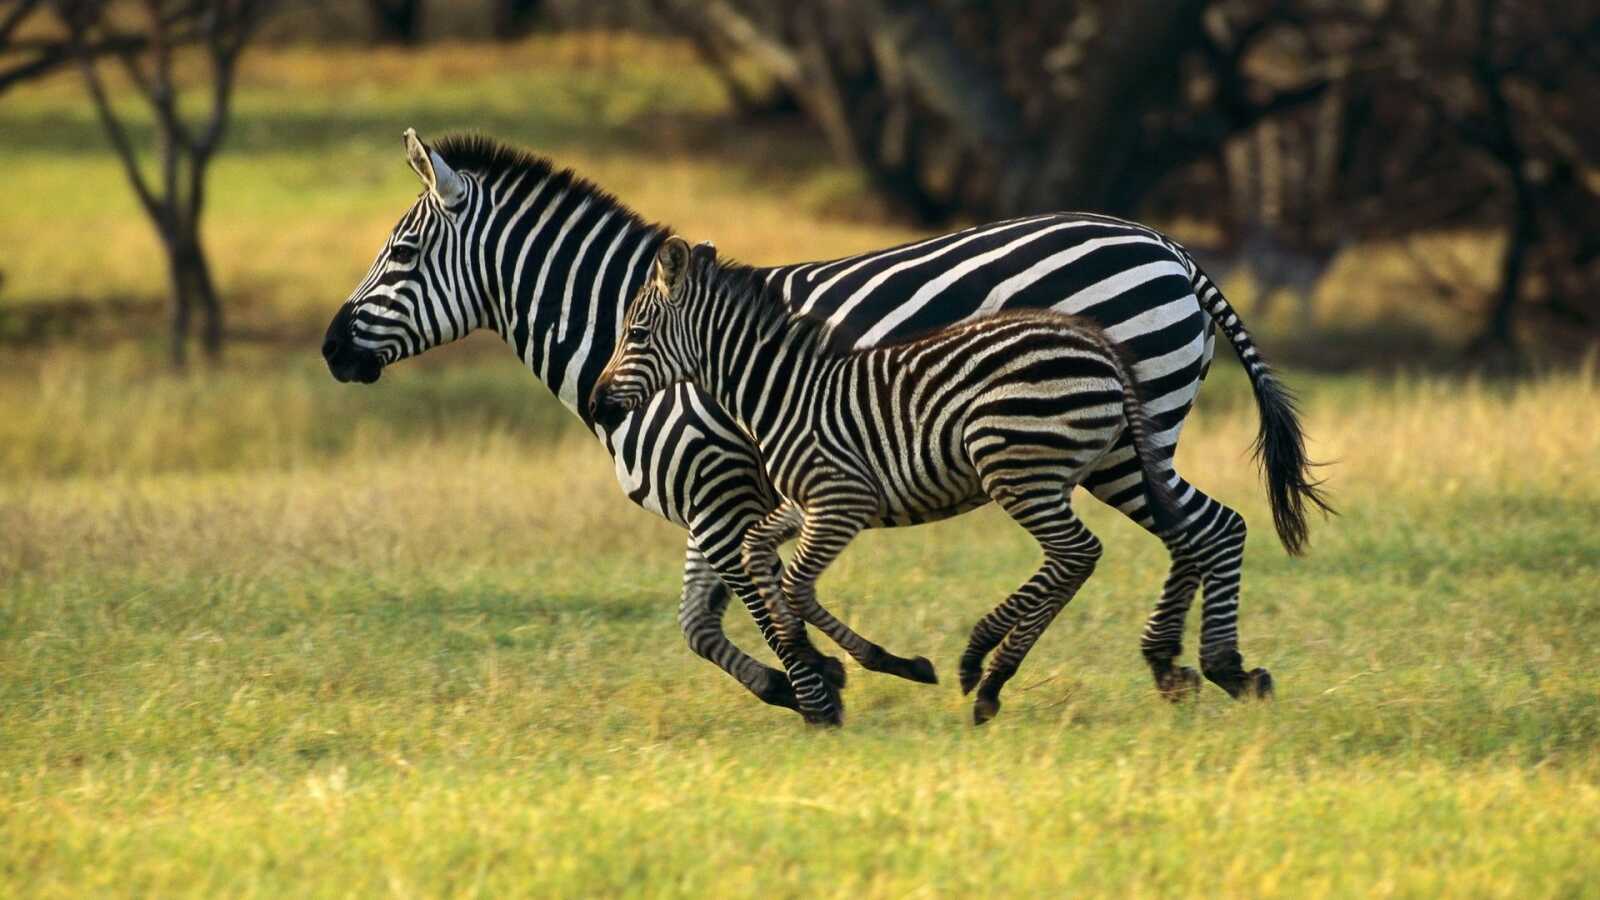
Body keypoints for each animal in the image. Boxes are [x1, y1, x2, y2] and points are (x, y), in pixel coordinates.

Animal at [590, 238, 1190, 724]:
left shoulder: (842, 500)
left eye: (635, 333)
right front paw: (807, 658)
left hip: (1016, 467)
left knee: (1078, 553)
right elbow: (758, 553)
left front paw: (847, 665)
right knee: (1086, 556)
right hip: (1050, 472)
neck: (783, 393)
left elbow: (795, 585)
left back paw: (984, 666)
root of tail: (1099, 345)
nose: (597, 404)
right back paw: (992, 673)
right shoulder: (803, 504)